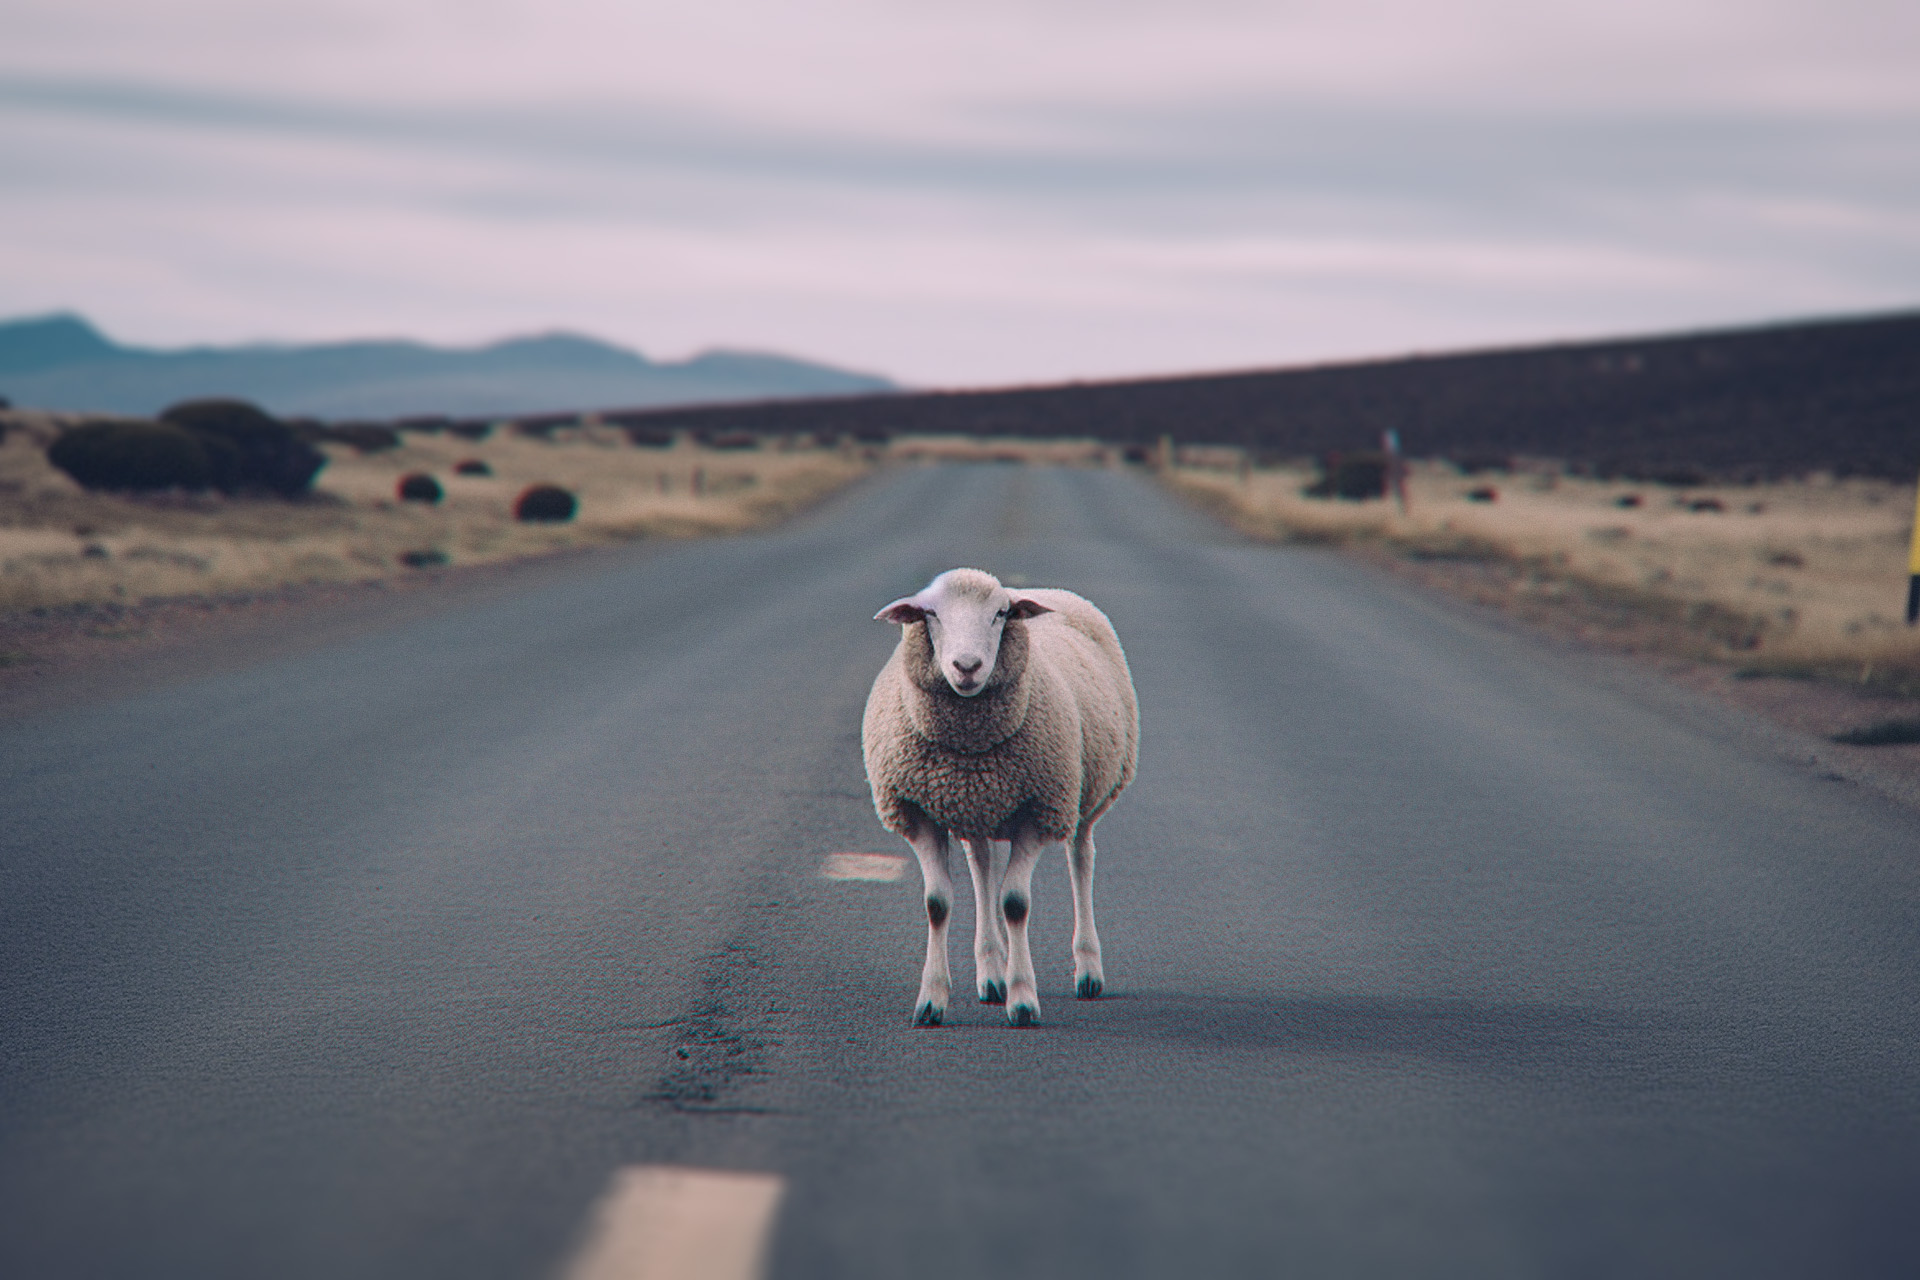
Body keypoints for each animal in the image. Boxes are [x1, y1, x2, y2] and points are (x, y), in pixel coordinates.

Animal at [862, 568, 1138, 1027]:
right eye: (930, 613)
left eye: (1001, 614)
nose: (967, 666)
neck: (970, 750)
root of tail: (1046, 591)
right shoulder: (919, 813)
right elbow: (937, 904)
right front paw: (931, 1001)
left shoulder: (1039, 810)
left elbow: (1014, 903)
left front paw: (1023, 999)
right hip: (979, 811)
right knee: (982, 866)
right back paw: (992, 974)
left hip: (1084, 796)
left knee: (1081, 860)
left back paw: (1087, 971)